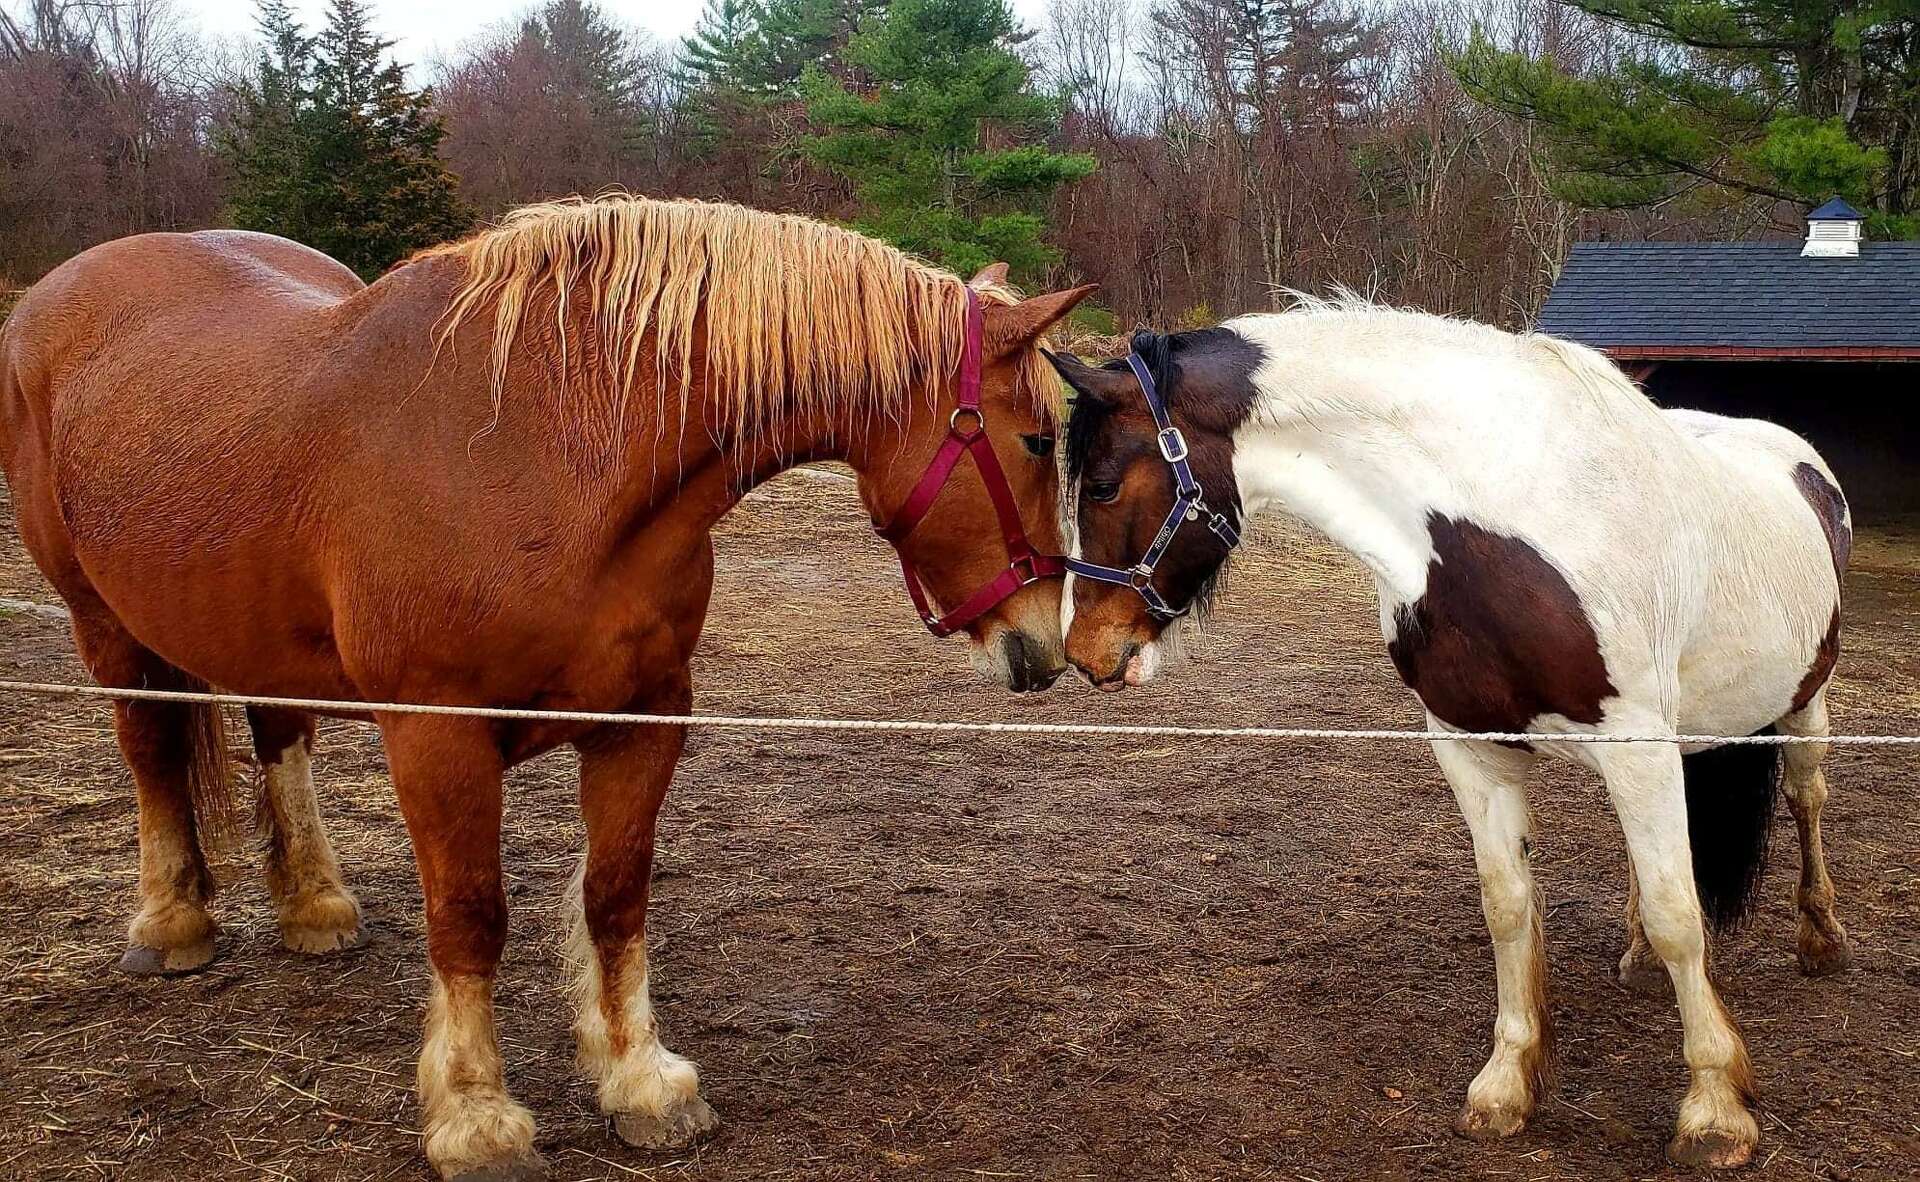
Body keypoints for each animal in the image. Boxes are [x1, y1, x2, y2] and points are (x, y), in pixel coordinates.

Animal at [0, 195, 1094, 1180]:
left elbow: (616, 895)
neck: (545, 454)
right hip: (104, 627)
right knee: (150, 755)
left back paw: (314, 906)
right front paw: (476, 1119)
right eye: (1038, 441)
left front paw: (641, 1082)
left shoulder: (644, 718)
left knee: (280, 738)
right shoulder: (438, 737)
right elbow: (470, 915)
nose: (1046, 648)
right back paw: (171, 923)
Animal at [1046, 296, 1852, 1169]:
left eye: (1101, 485)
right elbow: (1510, 907)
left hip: (1802, 705)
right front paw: (1505, 1086)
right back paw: (1637, 954)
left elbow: (1681, 916)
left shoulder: (1635, 743)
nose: (1086, 651)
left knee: (1806, 799)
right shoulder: (1473, 748)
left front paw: (1714, 1111)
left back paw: (1821, 937)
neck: (1500, 527)